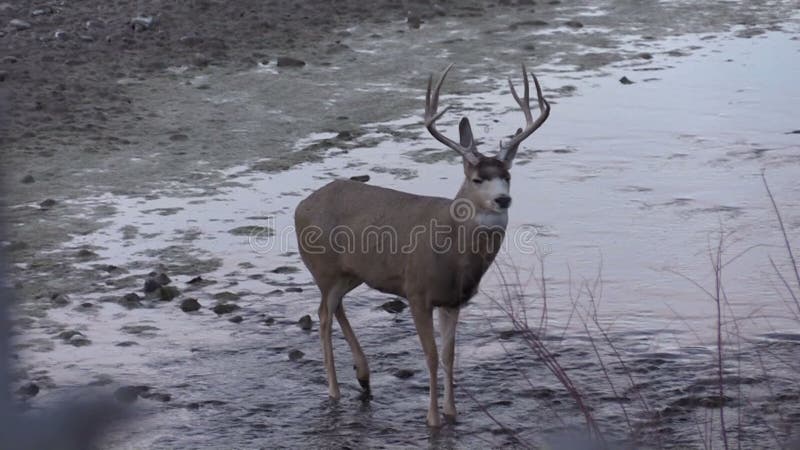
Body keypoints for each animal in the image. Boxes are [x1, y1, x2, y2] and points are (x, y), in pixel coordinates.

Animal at [294, 64, 550, 427]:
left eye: (508, 176)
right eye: (477, 179)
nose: (503, 199)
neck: (452, 250)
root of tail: (300, 207)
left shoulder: (454, 300)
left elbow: (449, 355)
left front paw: (452, 412)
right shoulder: (416, 291)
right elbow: (429, 355)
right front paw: (432, 419)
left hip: (351, 272)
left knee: (336, 307)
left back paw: (363, 375)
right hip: (324, 266)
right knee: (323, 316)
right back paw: (334, 391)